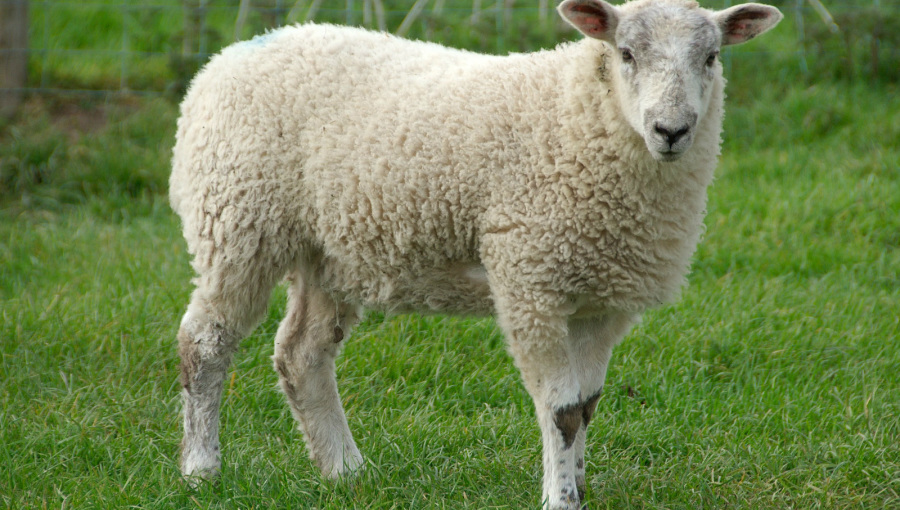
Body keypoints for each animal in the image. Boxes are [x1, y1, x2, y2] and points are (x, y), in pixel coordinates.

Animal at [169, 1, 782, 508]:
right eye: (626, 53)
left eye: (711, 57)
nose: (671, 130)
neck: (577, 116)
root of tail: (225, 59)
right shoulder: (530, 281)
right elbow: (561, 412)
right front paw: (561, 497)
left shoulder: (603, 299)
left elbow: (587, 404)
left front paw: (579, 485)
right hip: (238, 221)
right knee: (206, 341)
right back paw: (202, 470)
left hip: (331, 252)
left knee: (301, 354)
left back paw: (345, 471)